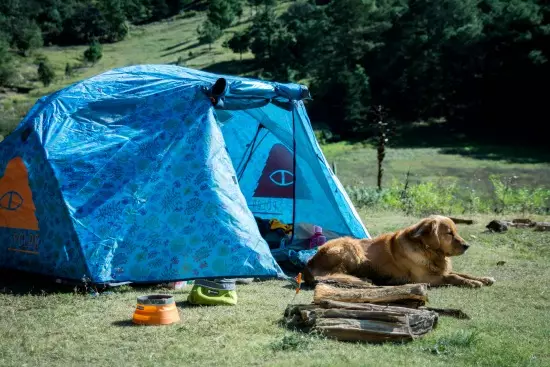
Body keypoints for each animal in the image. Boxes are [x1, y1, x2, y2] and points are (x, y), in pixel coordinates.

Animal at [304, 216, 498, 290]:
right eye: (449, 233)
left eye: (456, 231)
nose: (467, 245)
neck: (427, 249)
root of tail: (310, 261)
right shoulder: (426, 278)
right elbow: (453, 277)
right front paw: (472, 283)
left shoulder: (439, 270)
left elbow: (463, 273)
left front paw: (484, 278)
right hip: (352, 247)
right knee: (331, 274)